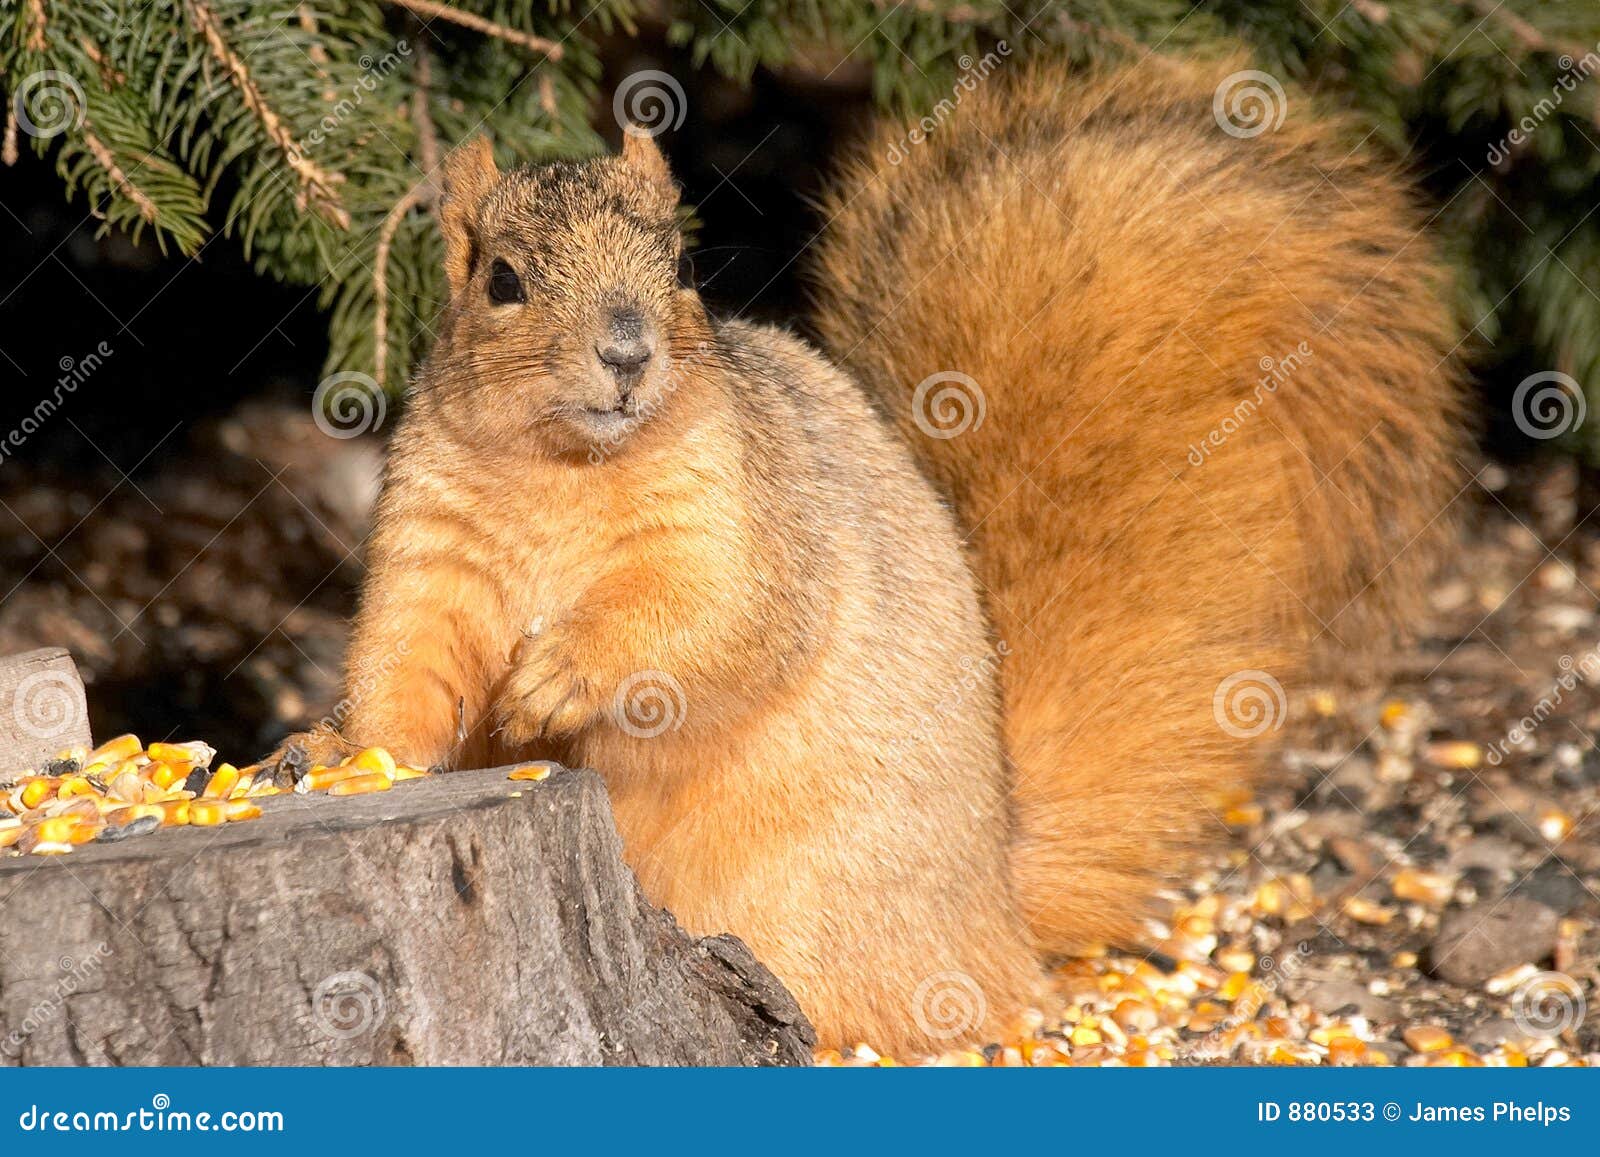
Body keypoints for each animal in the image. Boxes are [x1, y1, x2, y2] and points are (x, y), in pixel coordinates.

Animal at [275, 55, 1466, 1055]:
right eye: (504, 281)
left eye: (681, 262)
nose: (626, 351)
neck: (563, 472)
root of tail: (994, 910)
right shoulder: (432, 551)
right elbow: (404, 672)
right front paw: (333, 753)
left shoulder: (745, 529)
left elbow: (714, 627)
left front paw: (559, 675)